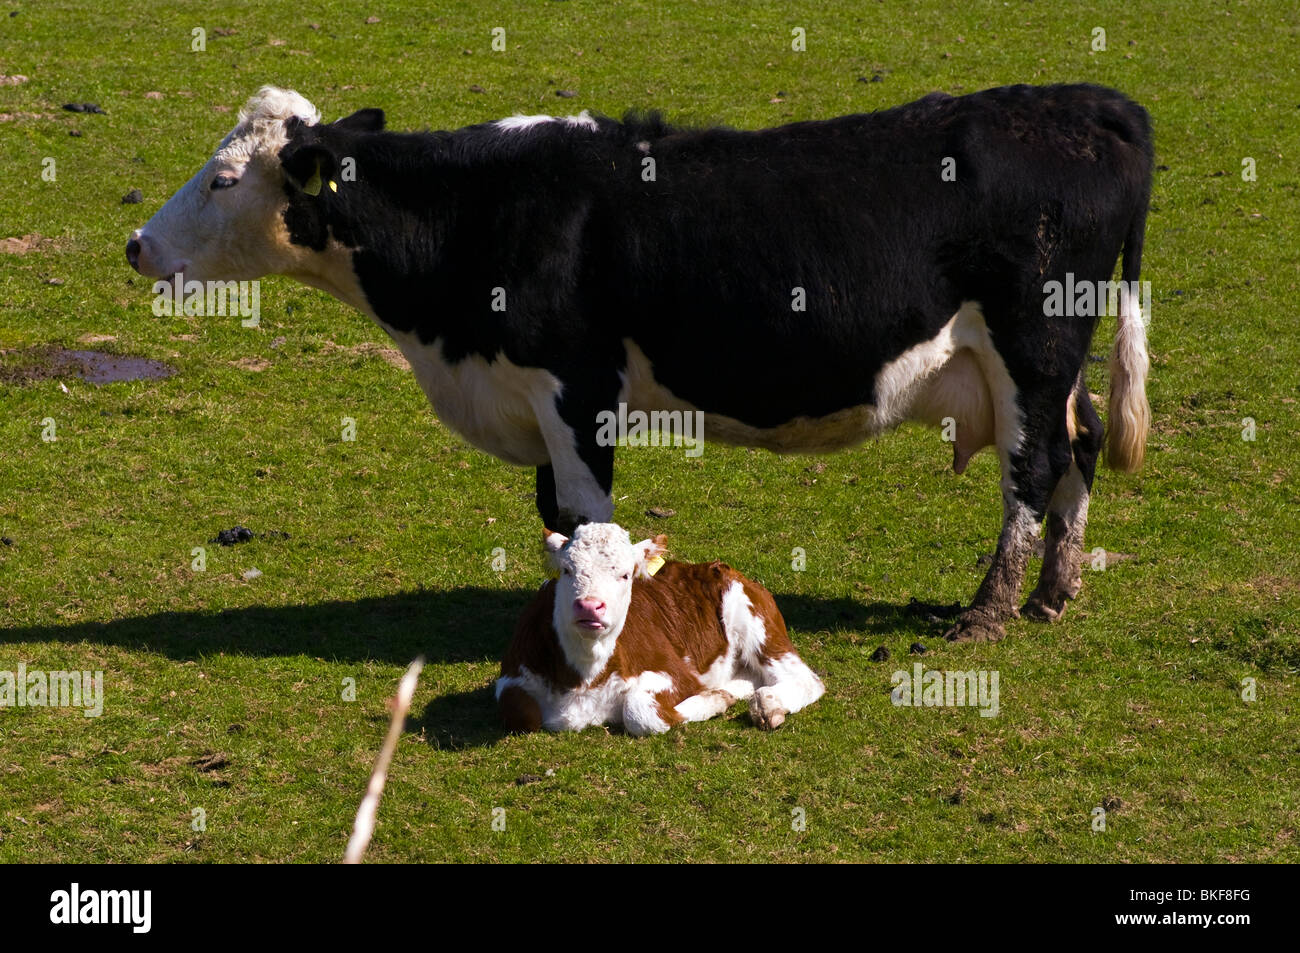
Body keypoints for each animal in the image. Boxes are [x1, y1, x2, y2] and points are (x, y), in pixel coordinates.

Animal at [126, 83, 1153, 644]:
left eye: (224, 179)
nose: (138, 245)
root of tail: (1080, 103)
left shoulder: (573, 389)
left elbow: (583, 515)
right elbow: (556, 519)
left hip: (1030, 345)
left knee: (1034, 469)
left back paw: (989, 608)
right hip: (1054, 358)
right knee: (1081, 445)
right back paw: (1054, 593)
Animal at [497, 523, 825, 734]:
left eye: (625, 575)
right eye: (567, 570)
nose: (590, 606)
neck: (585, 676)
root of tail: (711, 566)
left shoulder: (677, 674)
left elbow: (639, 711)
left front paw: (713, 700)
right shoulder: (512, 675)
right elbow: (521, 714)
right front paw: (719, 696)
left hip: (755, 621)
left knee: (806, 679)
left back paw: (768, 704)